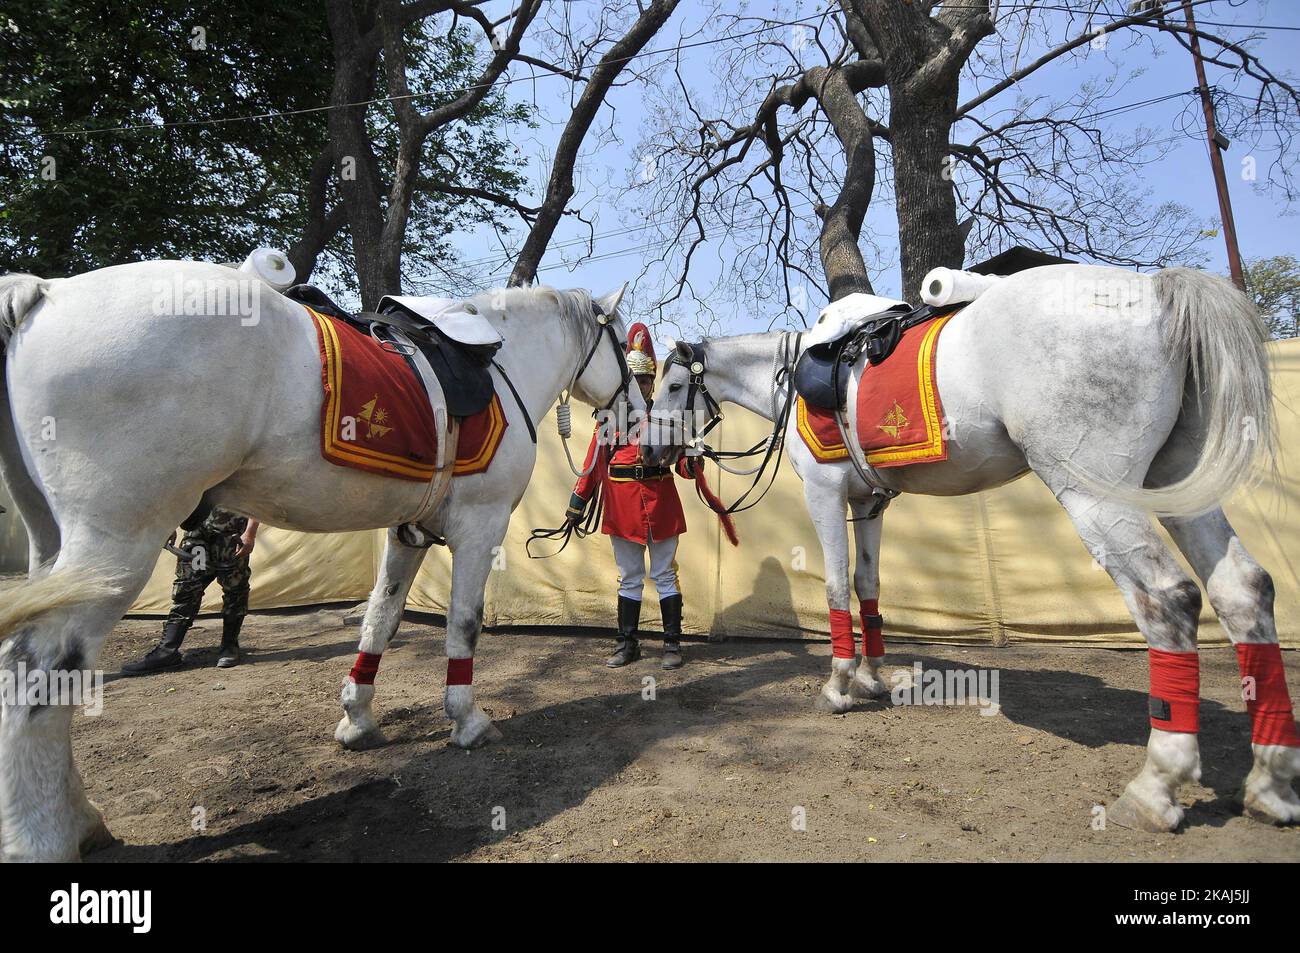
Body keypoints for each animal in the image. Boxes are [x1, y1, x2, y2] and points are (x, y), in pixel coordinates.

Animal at [0, 260, 641, 861]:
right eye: (627, 354)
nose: (635, 412)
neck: (500, 370)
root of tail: (46, 292)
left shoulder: (409, 535)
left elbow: (379, 620)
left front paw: (358, 718)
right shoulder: (479, 529)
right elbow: (464, 624)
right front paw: (467, 720)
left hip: (55, 548)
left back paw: (78, 819)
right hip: (114, 548)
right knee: (40, 670)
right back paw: (44, 837)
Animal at [643, 264, 1299, 832]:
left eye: (673, 386)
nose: (649, 449)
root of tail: (1158, 291)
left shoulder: (826, 495)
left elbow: (833, 585)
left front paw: (839, 684)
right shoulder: (870, 503)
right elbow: (868, 587)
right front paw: (874, 678)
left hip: (1095, 493)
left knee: (1169, 600)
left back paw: (1157, 785)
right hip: (1179, 480)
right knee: (1243, 588)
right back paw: (1269, 783)